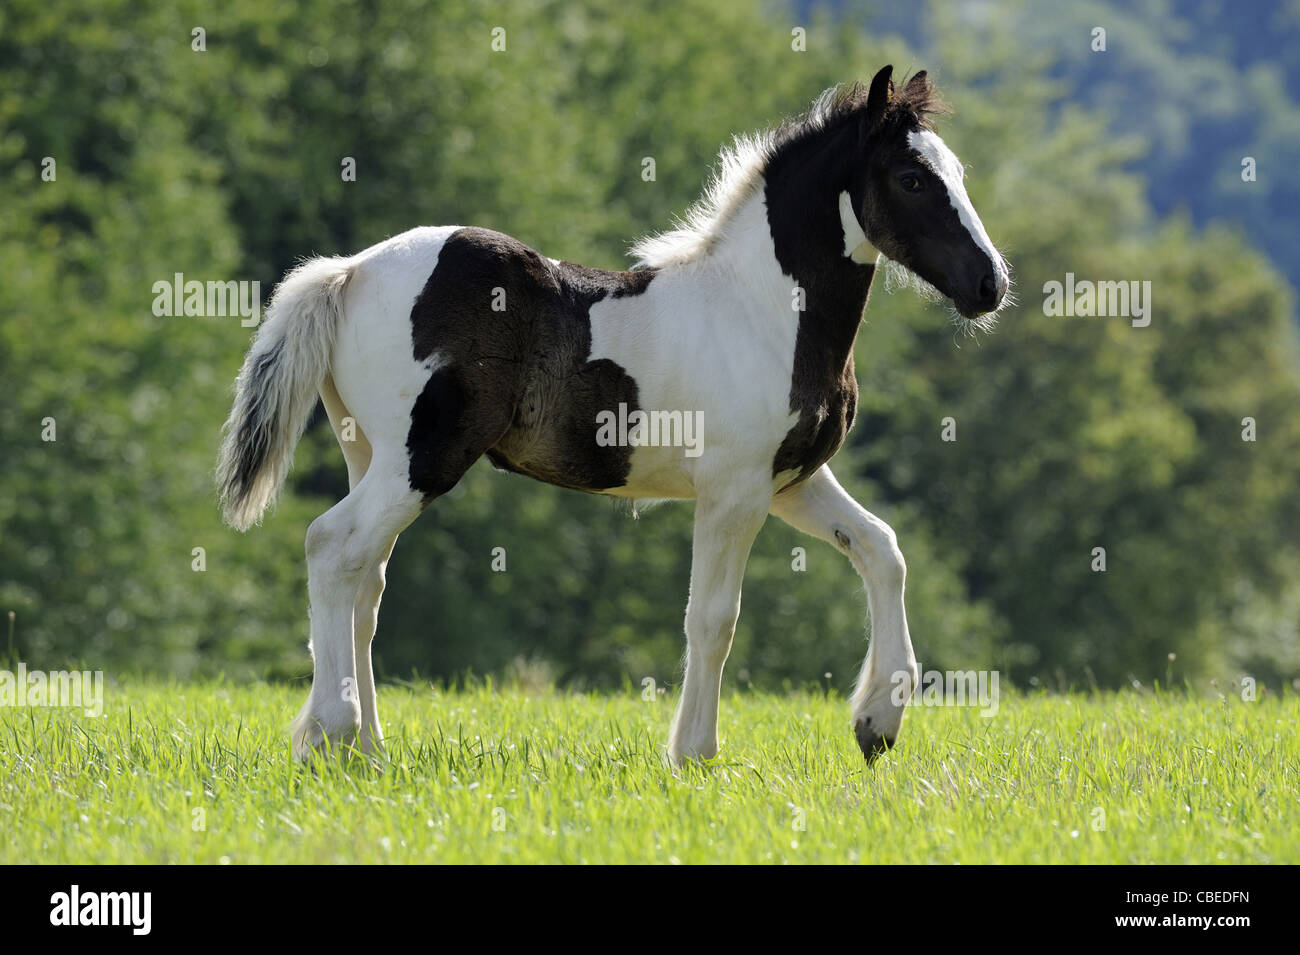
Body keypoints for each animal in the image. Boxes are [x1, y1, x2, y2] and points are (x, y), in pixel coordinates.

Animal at [216, 65, 1009, 766]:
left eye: (958, 171)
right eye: (912, 179)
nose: (990, 284)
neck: (762, 308)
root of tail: (348, 271)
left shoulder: (790, 481)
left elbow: (882, 549)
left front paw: (877, 724)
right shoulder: (734, 490)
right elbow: (713, 620)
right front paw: (694, 755)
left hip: (369, 455)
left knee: (365, 584)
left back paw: (369, 751)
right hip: (421, 458)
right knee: (331, 546)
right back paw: (331, 733)